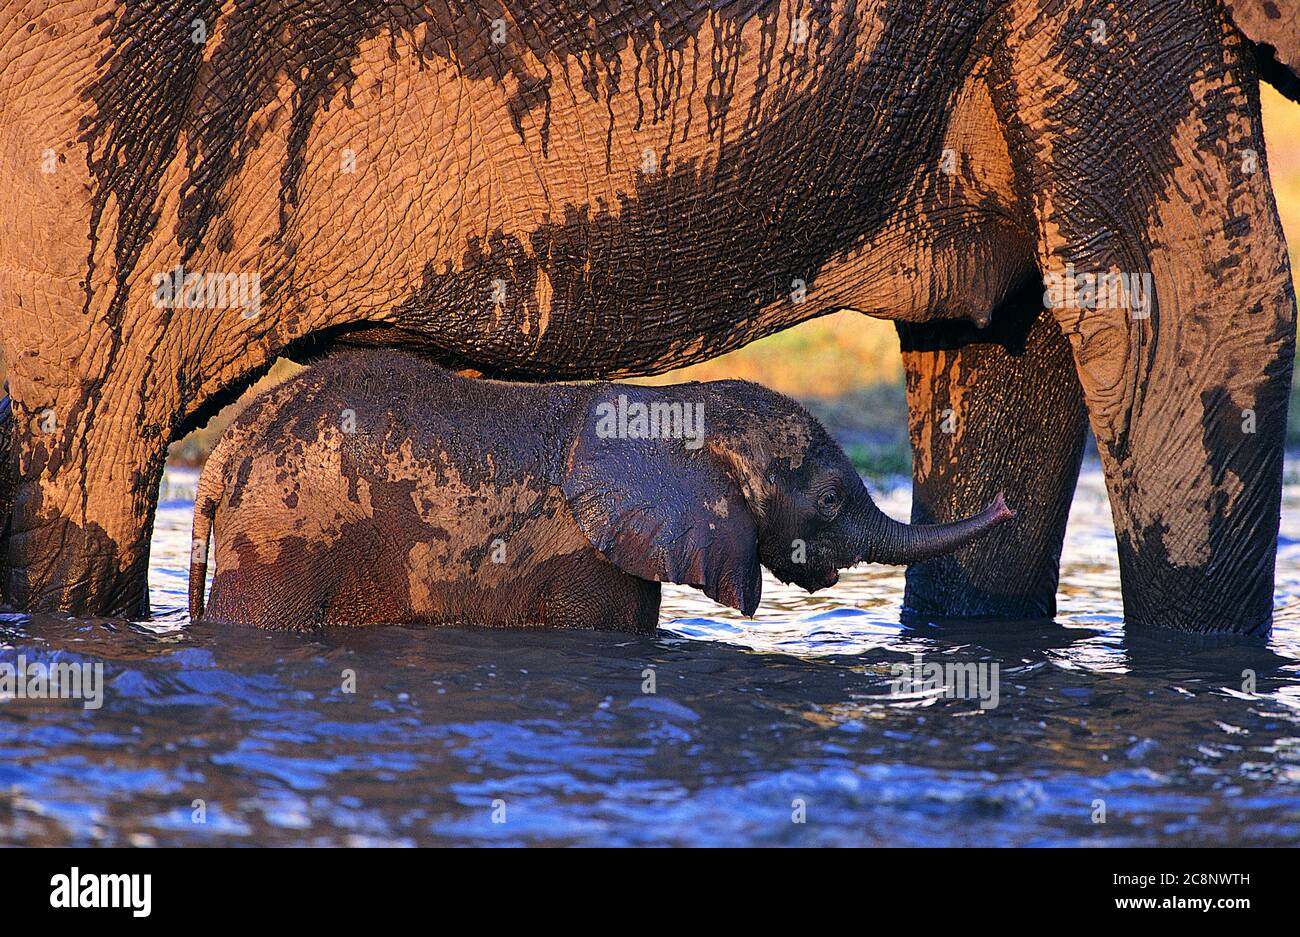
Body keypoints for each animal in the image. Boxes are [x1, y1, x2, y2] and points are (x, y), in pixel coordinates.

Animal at [187, 350, 1013, 631]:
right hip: (284, 530)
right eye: (833, 499)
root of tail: (225, 451)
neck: (682, 405)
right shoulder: (585, 554)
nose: (1006, 504)